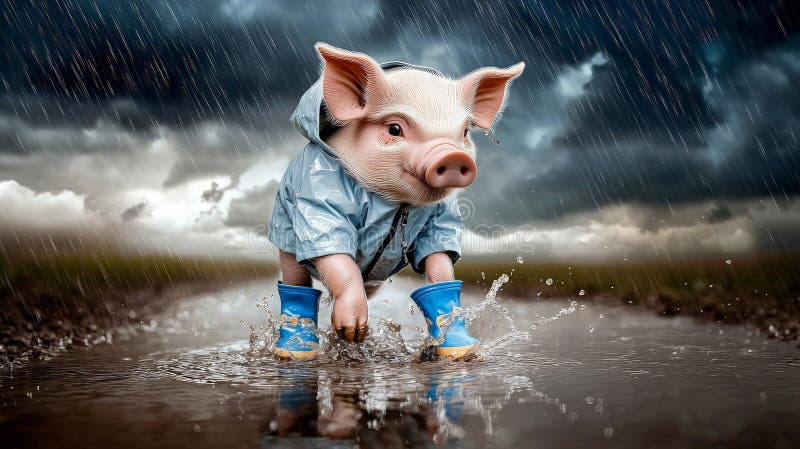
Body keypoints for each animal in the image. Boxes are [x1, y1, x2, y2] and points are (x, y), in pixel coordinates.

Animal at [268, 42, 523, 359]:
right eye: (394, 129)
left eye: (464, 132)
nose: (453, 156)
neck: (398, 203)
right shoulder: (320, 199)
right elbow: (336, 253)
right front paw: (352, 329)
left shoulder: (440, 217)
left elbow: (439, 267)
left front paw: (462, 352)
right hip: (285, 236)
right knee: (296, 284)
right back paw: (297, 352)